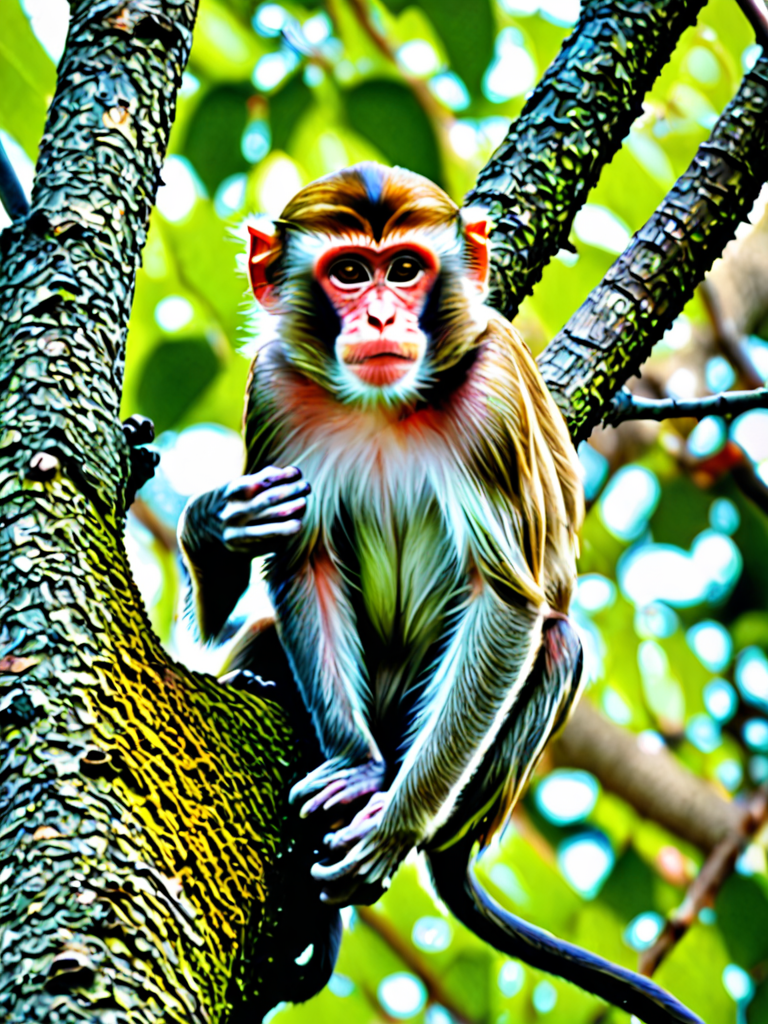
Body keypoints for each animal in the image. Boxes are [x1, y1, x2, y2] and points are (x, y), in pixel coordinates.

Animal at [179, 163, 702, 1024]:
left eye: (405, 269)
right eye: (349, 272)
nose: (381, 315)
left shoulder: (492, 396)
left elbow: (510, 599)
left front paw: (389, 821)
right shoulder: (275, 389)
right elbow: (301, 565)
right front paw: (219, 522)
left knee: (557, 642)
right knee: (260, 634)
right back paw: (268, 681)